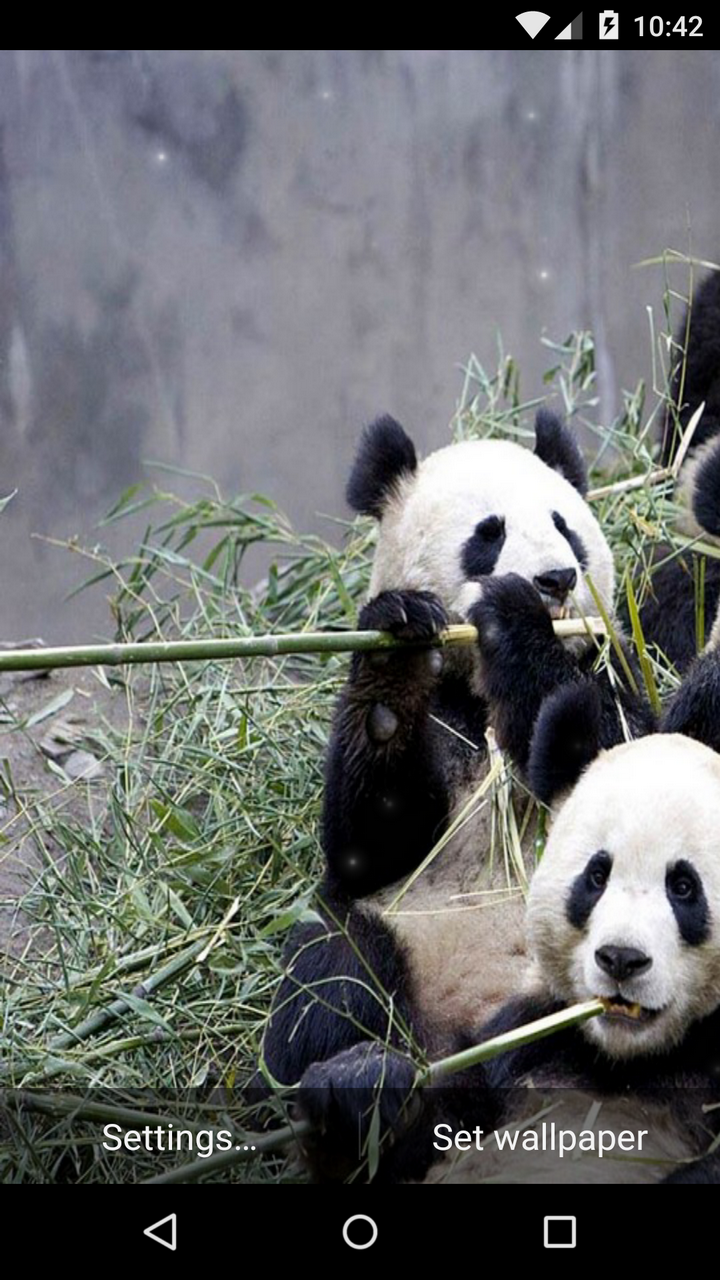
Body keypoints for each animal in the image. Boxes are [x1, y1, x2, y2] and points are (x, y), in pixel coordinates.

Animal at [256, 409, 653, 1114]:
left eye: (566, 528)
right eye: (487, 534)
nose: (555, 580)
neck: (482, 692)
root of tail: (457, 1032)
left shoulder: (617, 661)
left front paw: (516, 620)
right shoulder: (444, 719)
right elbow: (372, 843)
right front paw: (396, 660)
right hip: (401, 935)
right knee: (333, 961)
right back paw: (354, 1077)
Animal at [295, 662, 720, 1186]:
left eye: (684, 888)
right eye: (596, 876)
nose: (621, 958)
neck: (627, 1057)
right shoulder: (527, 1037)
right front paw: (358, 1093)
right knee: (336, 965)